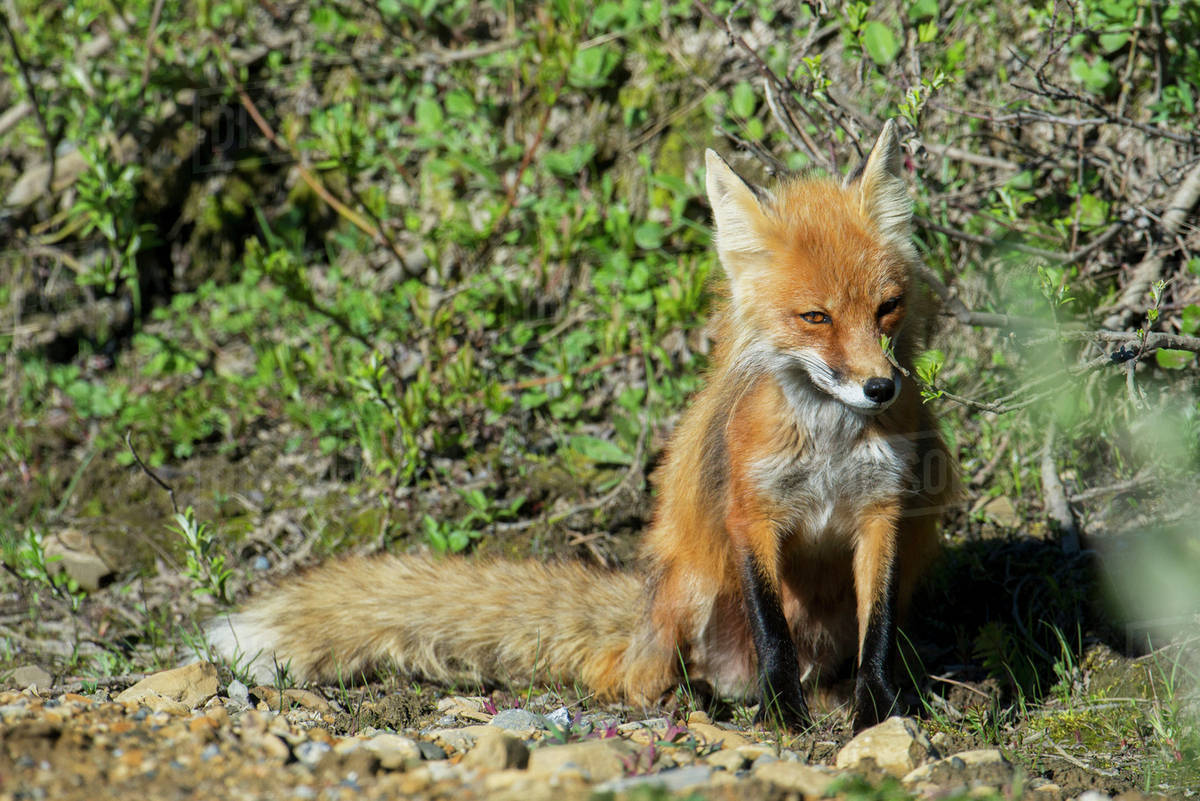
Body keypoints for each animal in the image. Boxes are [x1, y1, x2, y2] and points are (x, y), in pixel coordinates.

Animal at [207, 120, 956, 732]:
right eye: (816, 317)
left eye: (887, 308)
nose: (881, 387)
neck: (829, 441)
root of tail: (642, 612)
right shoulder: (753, 515)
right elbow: (773, 628)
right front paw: (783, 716)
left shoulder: (883, 514)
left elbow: (879, 630)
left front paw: (879, 707)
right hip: (692, 588)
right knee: (647, 678)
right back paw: (703, 699)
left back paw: (829, 694)